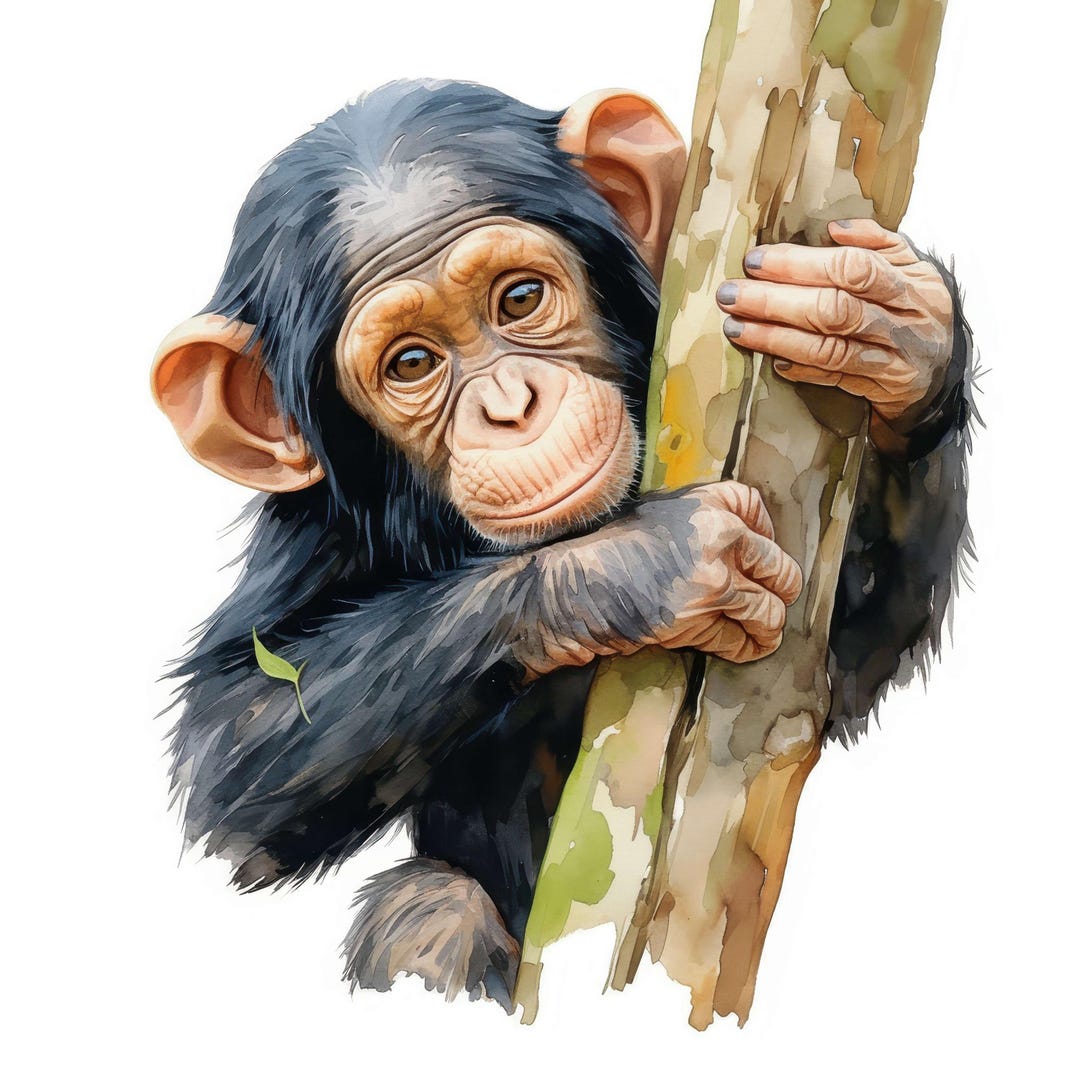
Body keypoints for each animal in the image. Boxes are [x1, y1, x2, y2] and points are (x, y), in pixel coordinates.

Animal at [151, 80, 973, 1010]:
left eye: (518, 300)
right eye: (411, 364)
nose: (511, 405)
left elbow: (837, 673)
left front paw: (900, 334)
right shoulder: (313, 531)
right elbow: (234, 741)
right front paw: (636, 569)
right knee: (428, 914)